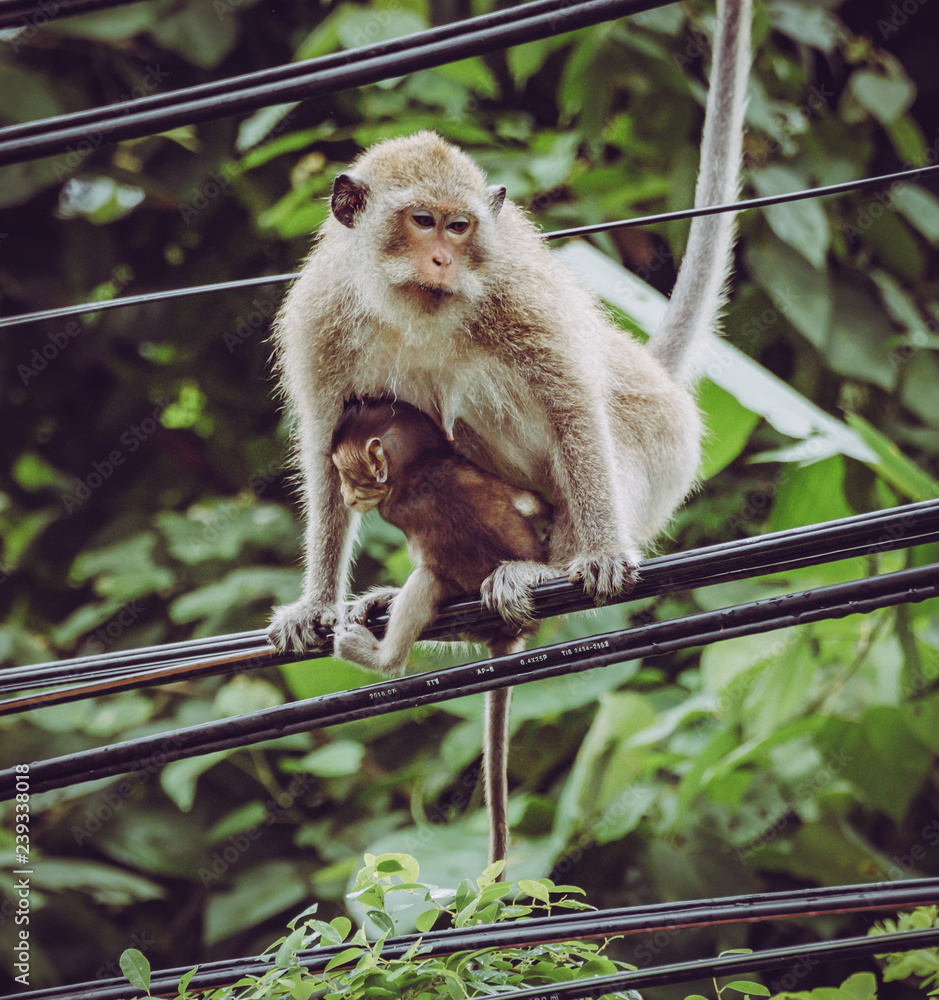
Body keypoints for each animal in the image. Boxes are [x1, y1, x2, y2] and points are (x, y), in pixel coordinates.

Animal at [328, 395, 552, 868]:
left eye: (346, 474)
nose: (344, 494)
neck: (421, 465)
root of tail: (511, 632)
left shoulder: (395, 506)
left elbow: (428, 562)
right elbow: (533, 506)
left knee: (428, 581)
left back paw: (382, 656)